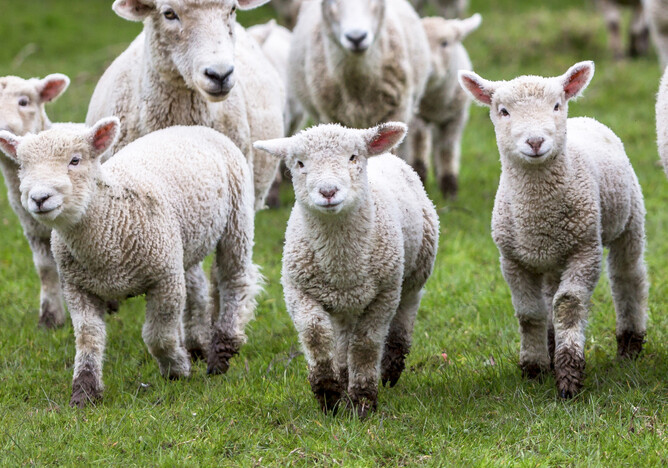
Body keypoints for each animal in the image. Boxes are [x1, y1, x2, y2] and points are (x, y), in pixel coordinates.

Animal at [0, 120, 260, 407]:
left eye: (75, 160)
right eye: (23, 166)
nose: (39, 198)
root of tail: (189, 126)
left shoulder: (164, 278)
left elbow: (158, 335)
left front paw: (177, 369)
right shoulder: (77, 287)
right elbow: (89, 337)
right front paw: (85, 390)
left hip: (237, 215)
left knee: (234, 279)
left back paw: (222, 350)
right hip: (182, 243)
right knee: (198, 288)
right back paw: (197, 344)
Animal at [254, 122, 439, 417]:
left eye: (353, 157)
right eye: (300, 163)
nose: (328, 192)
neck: (341, 264)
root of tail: (386, 155)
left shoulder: (384, 295)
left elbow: (365, 344)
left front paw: (363, 401)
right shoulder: (297, 290)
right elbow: (315, 334)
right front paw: (328, 393)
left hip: (414, 271)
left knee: (406, 311)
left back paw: (390, 368)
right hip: (344, 304)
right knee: (341, 336)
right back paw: (342, 375)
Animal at [411, 13, 481, 199]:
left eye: (445, 43)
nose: (428, 70)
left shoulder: (456, 117)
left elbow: (447, 149)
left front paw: (449, 188)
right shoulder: (416, 115)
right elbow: (419, 138)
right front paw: (420, 173)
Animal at [459, 61, 648, 398]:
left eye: (556, 105)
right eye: (503, 111)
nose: (535, 142)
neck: (538, 213)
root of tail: (586, 120)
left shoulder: (585, 251)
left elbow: (568, 305)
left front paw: (568, 376)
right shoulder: (512, 260)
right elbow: (530, 313)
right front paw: (534, 368)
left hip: (629, 219)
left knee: (628, 276)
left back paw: (629, 345)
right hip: (549, 258)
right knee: (548, 296)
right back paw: (550, 344)